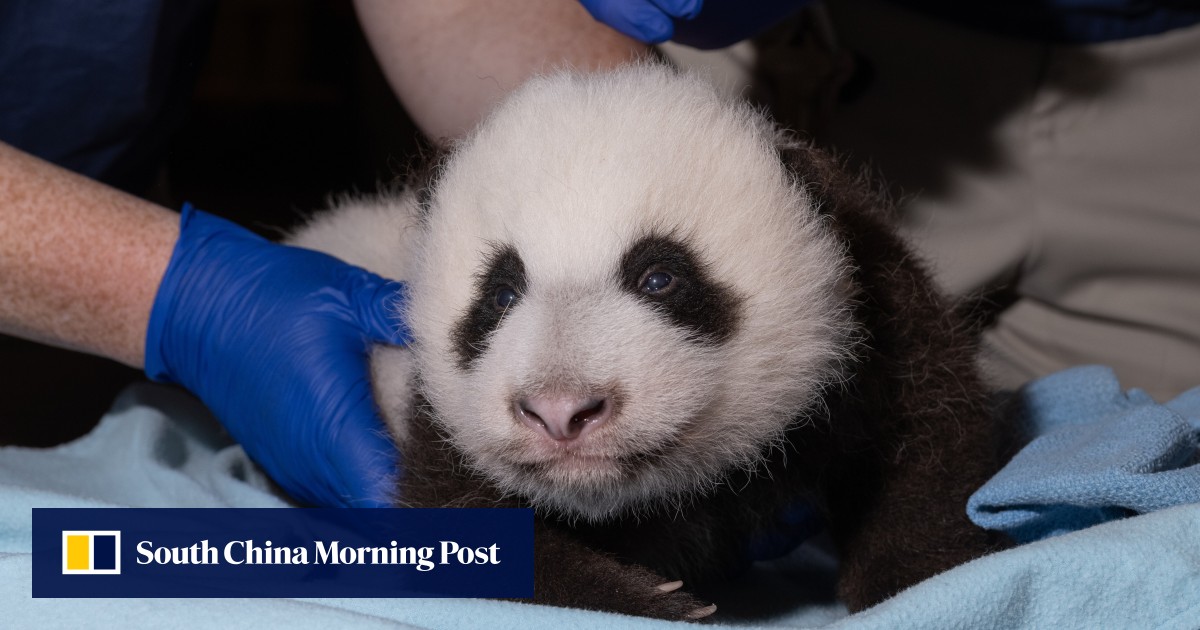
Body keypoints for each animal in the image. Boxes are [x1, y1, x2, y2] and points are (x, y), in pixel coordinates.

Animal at [289, 64, 1002, 620]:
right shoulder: (439, 419)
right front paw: (655, 598)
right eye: (502, 294)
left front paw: (910, 584)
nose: (560, 412)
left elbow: (926, 438)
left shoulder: (870, 307)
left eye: (660, 278)